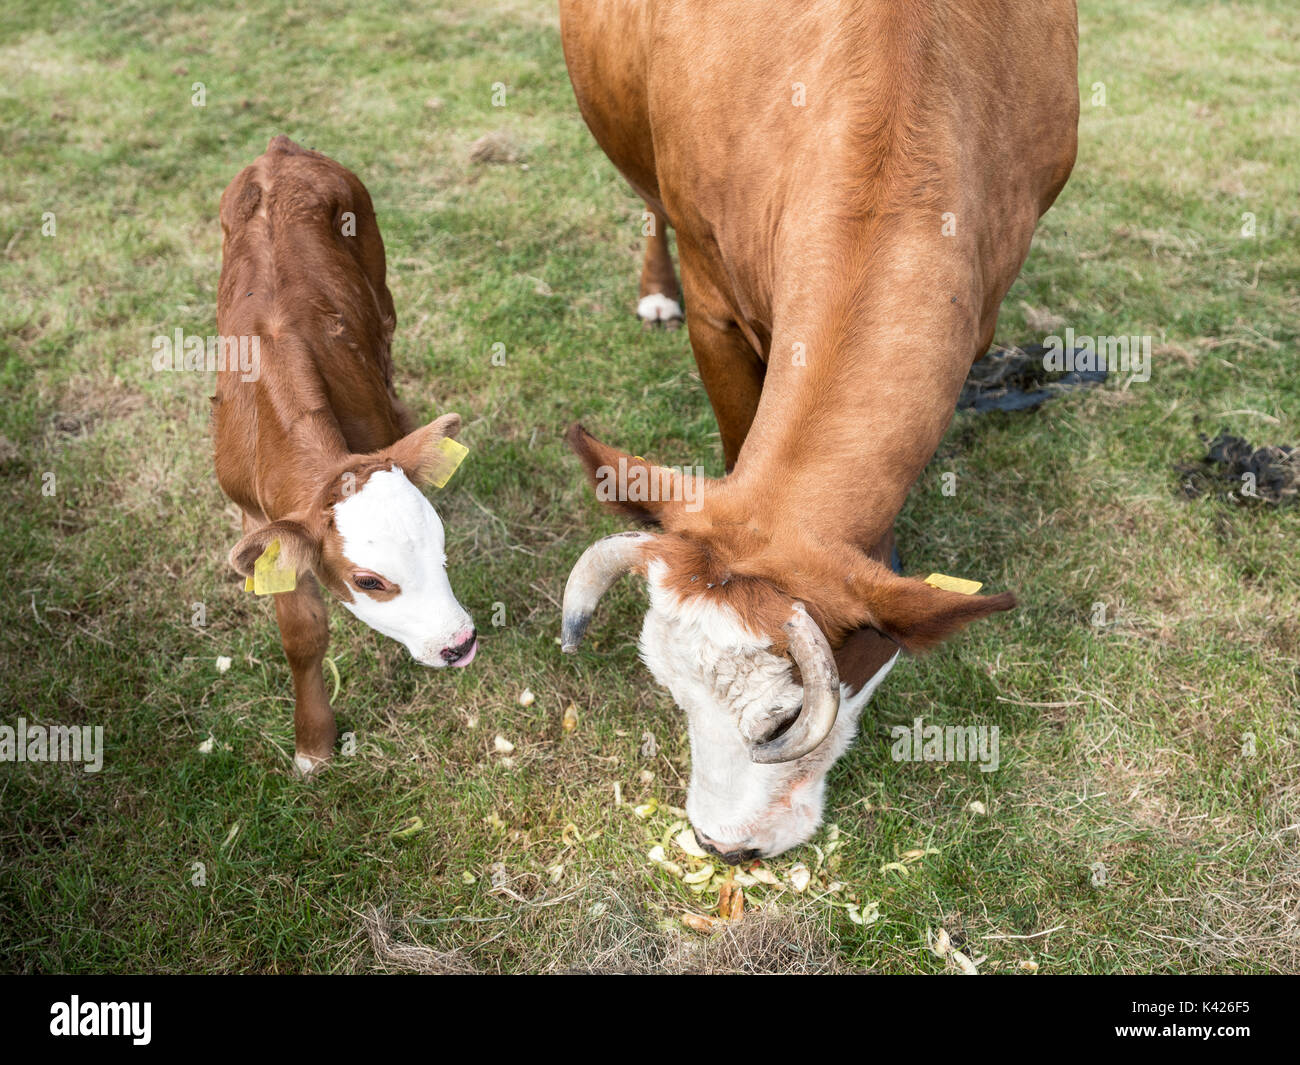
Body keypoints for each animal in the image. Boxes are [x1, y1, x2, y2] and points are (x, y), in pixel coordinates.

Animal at [213, 136, 477, 774]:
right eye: (369, 580)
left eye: (440, 543)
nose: (460, 644)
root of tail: (279, 149)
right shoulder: (258, 518)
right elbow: (302, 633)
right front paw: (313, 744)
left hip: (380, 287)